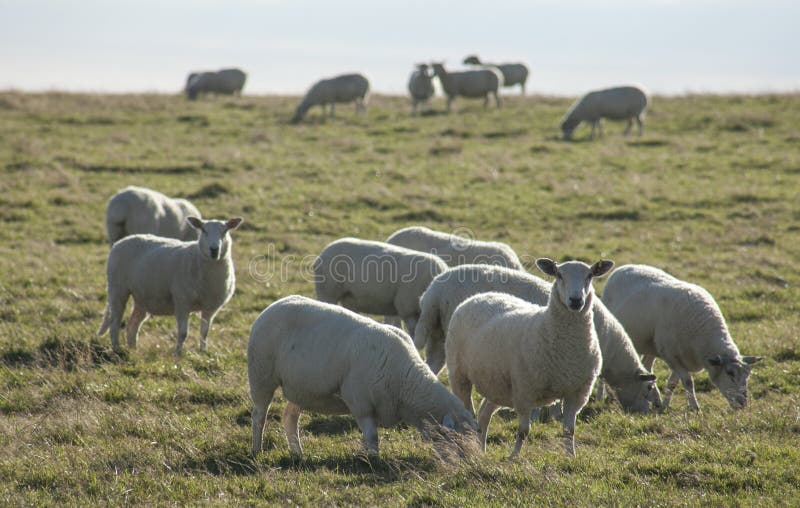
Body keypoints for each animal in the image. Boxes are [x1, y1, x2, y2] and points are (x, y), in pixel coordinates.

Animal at [97, 216, 243, 355]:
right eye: (204, 230)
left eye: (224, 232)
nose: (214, 250)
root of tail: (121, 241)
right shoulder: (182, 301)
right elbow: (183, 333)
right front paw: (178, 354)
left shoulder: (210, 307)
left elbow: (204, 332)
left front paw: (203, 352)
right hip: (117, 289)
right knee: (114, 322)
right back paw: (116, 349)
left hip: (142, 297)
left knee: (132, 325)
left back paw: (133, 351)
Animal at [248, 295, 477, 457]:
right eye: (458, 439)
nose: (467, 468)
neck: (405, 385)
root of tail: (276, 303)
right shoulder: (360, 402)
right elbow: (372, 437)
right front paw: (374, 461)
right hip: (261, 375)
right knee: (259, 416)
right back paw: (257, 449)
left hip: (301, 388)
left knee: (289, 417)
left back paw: (297, 452)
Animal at [415, 264, 660, 414]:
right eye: (648, 388)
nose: (648, 411)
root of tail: (432, 293)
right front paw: (549, 413)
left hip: (438, 336)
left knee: (431, 365)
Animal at [446, 258, 613, 457]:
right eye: (559, 275)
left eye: (589, 276)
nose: (576, 300)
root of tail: (479, 296)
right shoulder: (524, 391)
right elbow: (524, 431)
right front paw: (513, 457)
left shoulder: (577, 392)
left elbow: (569, 430)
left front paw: (571, 456)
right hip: (459, 374)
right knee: (467, 413)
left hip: (498, 384)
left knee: (484, 414)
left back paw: (482, 451)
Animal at [602, 264, 762, 411]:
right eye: (730, 373)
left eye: (748, 375)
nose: (743, 404)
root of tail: (623, 267)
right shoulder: (671, 355)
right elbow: (688, 381)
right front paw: (695, 408)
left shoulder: (681, 359)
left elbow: (673, 382)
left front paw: (664, 407)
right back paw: (602, 396)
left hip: (650, 346)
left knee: (647, 367)